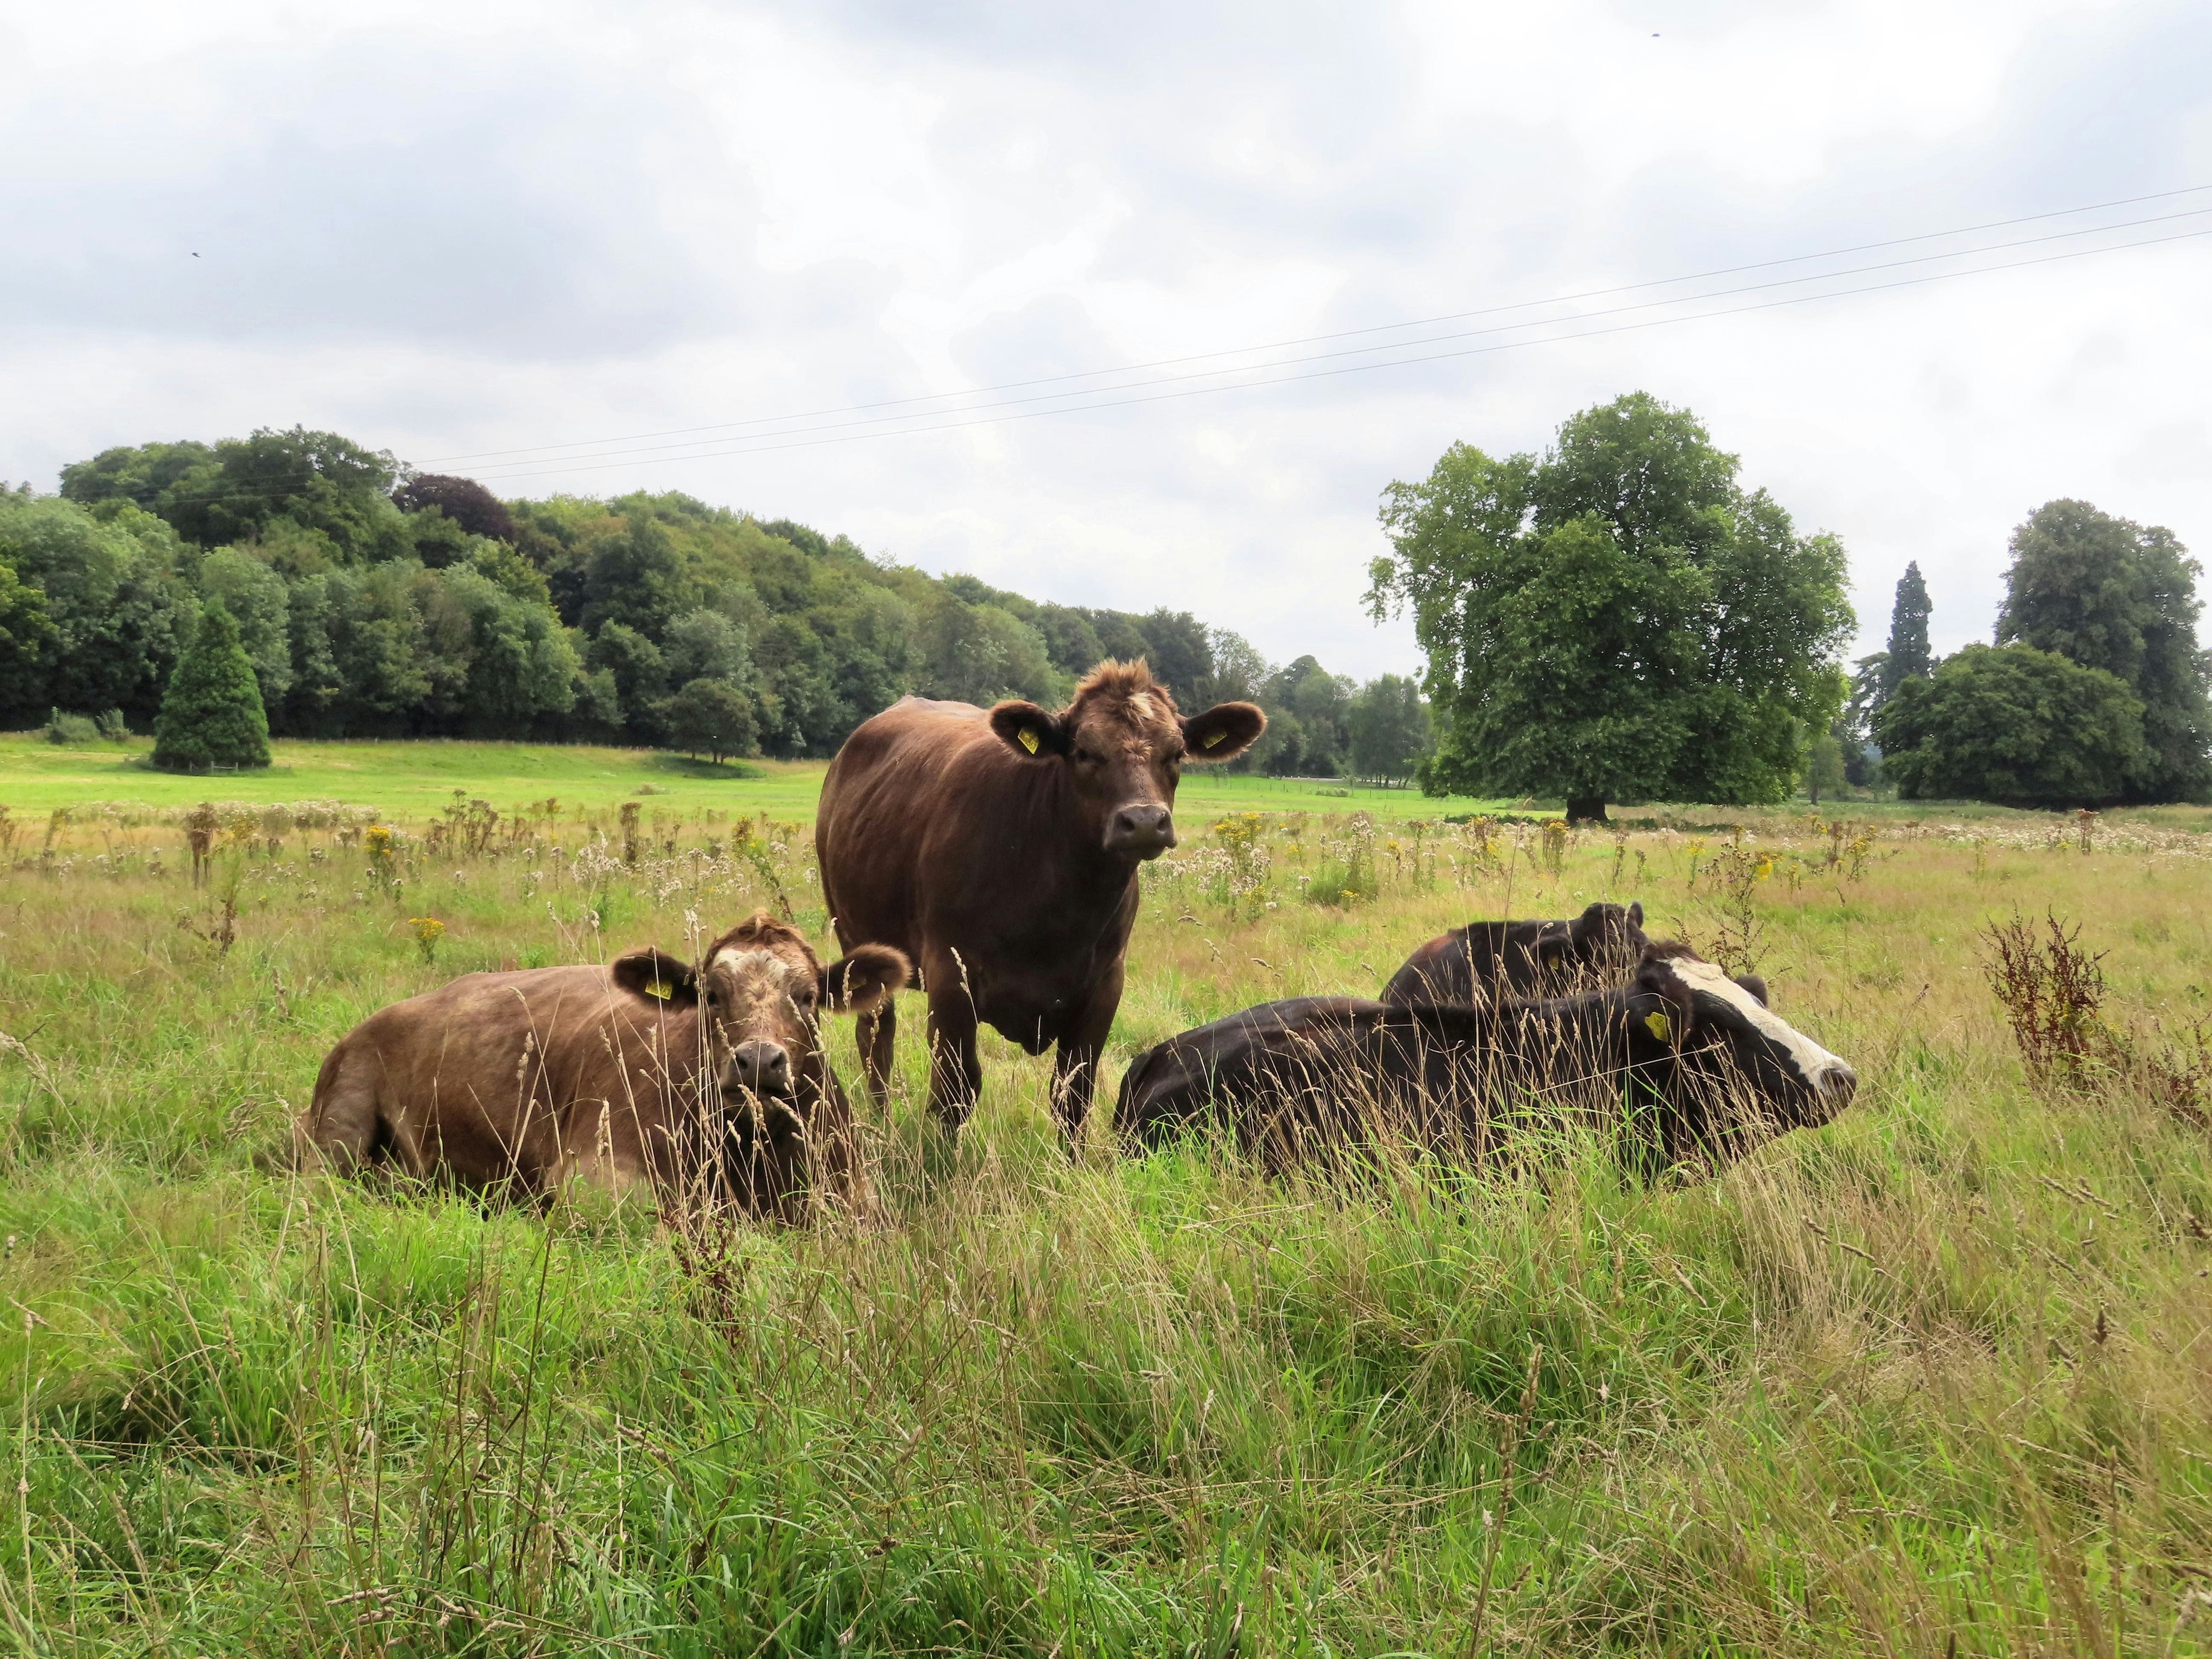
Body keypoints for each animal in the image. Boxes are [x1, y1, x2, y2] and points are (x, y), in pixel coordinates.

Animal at [293, 912, 910, 1224]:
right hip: (339, 1121)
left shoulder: (856, 1192)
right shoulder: (596, 1177)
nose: (758, 1061)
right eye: (711, 995)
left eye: (806, 998)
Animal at [816, 659, 1265, 1145]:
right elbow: (954, 1091)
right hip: (858, 943)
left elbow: (1073, 1096)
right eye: (1085, 752)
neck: (1060, 911)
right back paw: (880, 1123)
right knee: (876, 1037)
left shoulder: (1104, 986)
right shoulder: (949, 975)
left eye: (1177, 754)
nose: (1145, 821)